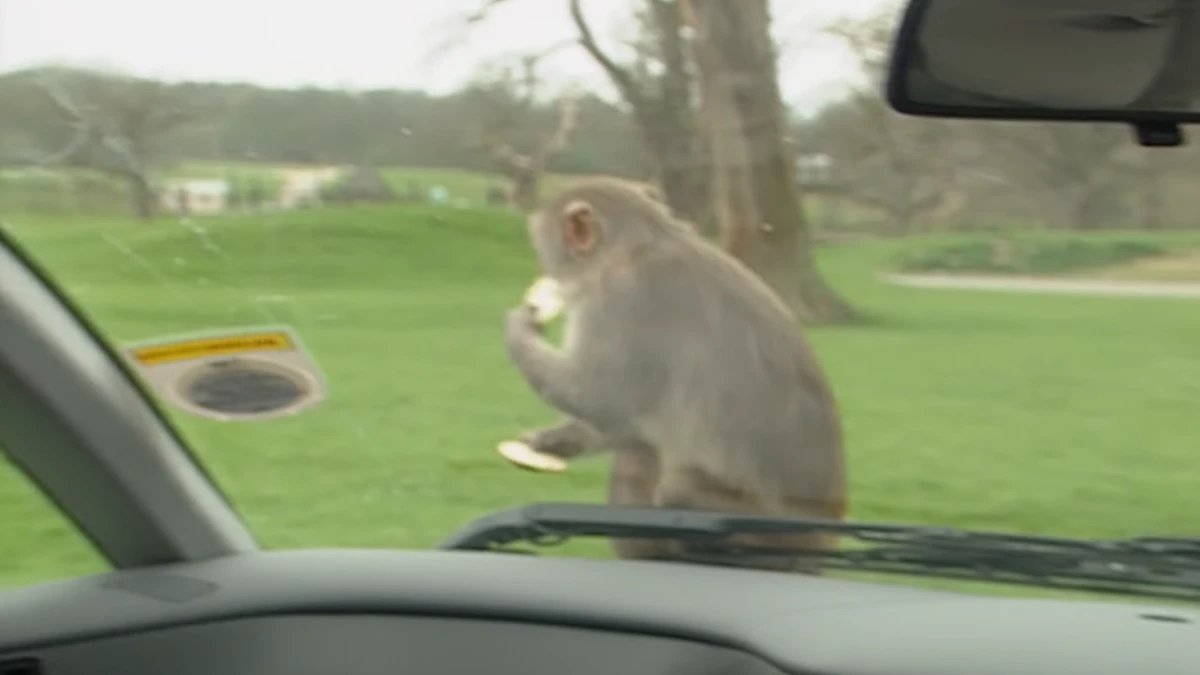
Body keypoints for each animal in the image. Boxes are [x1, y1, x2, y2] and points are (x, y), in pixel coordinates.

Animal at [503, 177, 847, 572]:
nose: (546, 275)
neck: (641, 241)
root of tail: (818, 544)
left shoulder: (625, 299)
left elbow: (601, 395)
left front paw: (519, 329)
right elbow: (624, 417)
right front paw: (554, 440)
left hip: (772, 530)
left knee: (676, 486)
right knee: (639, 452)